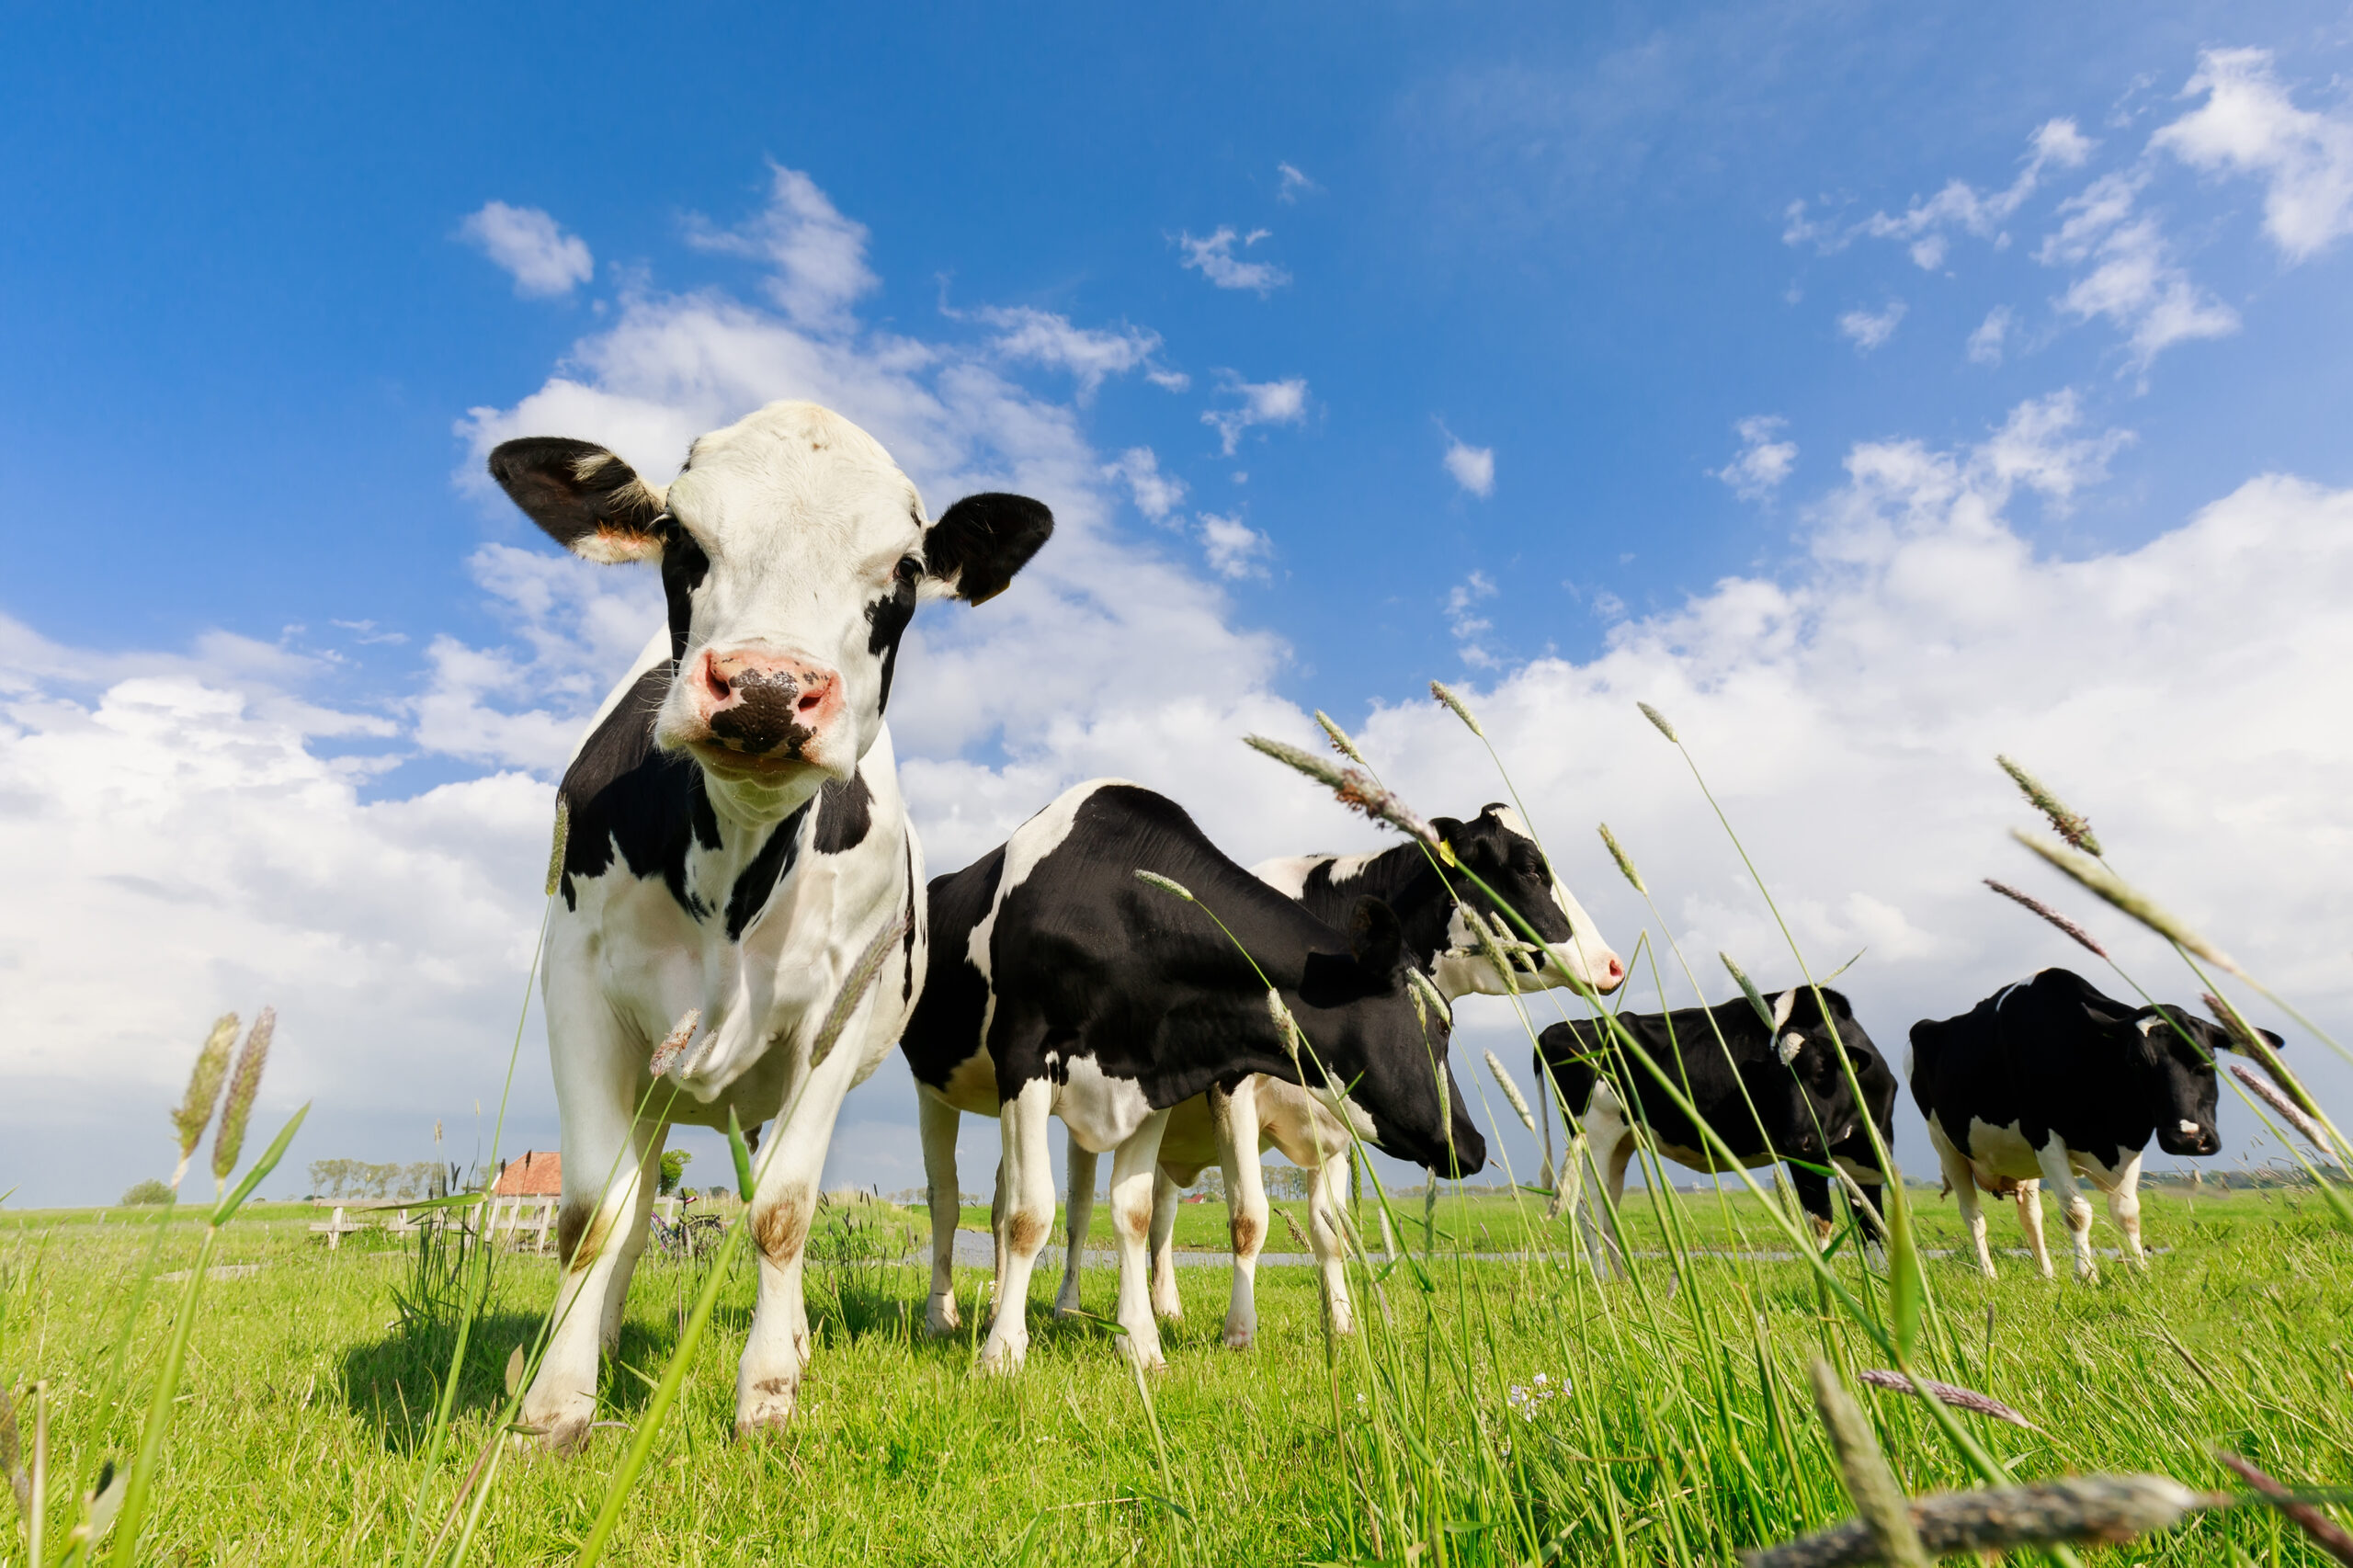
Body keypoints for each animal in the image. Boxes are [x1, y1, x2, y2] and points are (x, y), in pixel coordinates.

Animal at [486, 400, 1051, 1449]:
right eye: (680, 535)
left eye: (905, 568)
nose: (764, 688)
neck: (734, 867)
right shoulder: (577, 986)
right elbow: (592, 1214)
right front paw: (554, 1405)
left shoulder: (834, 1014)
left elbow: (783, 1212)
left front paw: (768, 1395)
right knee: (635, 1209)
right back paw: (602, 1338)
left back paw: (786, 1345)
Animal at [899, 779, 1486, 1371]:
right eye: (1440, 1025)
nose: (1474, 1144)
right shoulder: (1024, 1061)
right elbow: (1030, 1214)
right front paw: (1001, 1353)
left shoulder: (1154, 1081)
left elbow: (1133, 1214)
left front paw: (1140, 1344)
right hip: (934, 1086)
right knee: (947, 1198)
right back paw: (943, 1316)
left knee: (1017, 1201)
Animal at [1047, 806, 1623, 1348]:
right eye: (1529, 867)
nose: (1613, 965)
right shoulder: (1233, 1092)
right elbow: (1249, 1219)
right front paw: (1240, 1333)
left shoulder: (1340, 1121)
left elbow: (1329, 1231)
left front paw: (1343, 1327)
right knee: (1077, 1210)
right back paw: (1067, 1310)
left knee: (1162, 1213)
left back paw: (1165, 1308)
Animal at [1534, 986, 1898, 1270]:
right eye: (1773, 1084)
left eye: (1822, 1071)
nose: (1793, 1141)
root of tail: (1559, 1028)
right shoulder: (1807, 1163)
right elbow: (1820, 1221)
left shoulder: (1869, 1160)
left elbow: (1873, 1225)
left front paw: (1882, 1287)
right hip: (1593, 1135)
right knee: (1589, 1206)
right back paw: (1607, 1283)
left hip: (1620, 1144)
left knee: (1609, 1206)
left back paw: (1623, 1281)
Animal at [1908, 967, 2264, 1280]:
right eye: (2136, 1061)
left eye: (2209, 1060)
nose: (2188, 1138)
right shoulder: (2044, 1136)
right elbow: (2077, 1212)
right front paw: (2086, 1275)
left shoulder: (2130, 1142)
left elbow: (2127, 1212)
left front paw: (2141, 1271)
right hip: (1946, 1146)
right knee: (1973, 1215)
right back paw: (1988, 1274)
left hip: (2023, 1162)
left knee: (2030, 1216)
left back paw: (2047, 1274)